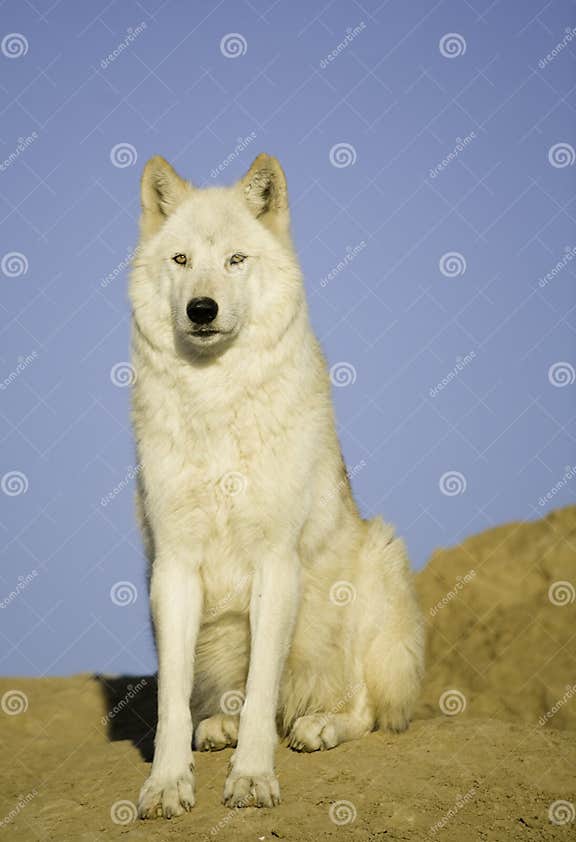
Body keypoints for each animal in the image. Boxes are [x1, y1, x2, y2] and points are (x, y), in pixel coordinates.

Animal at [129, 153, 424, 819]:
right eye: (181, 260)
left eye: (236, 259)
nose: (202, 309)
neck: (215, 401)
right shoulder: (173, 566)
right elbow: (170, 699)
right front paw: (167, 785)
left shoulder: (276, 562)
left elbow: (264, 691)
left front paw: (252, 779)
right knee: (229, 700)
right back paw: (219, 727)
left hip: (374, 569)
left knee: (364, 708)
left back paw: (318, 726)